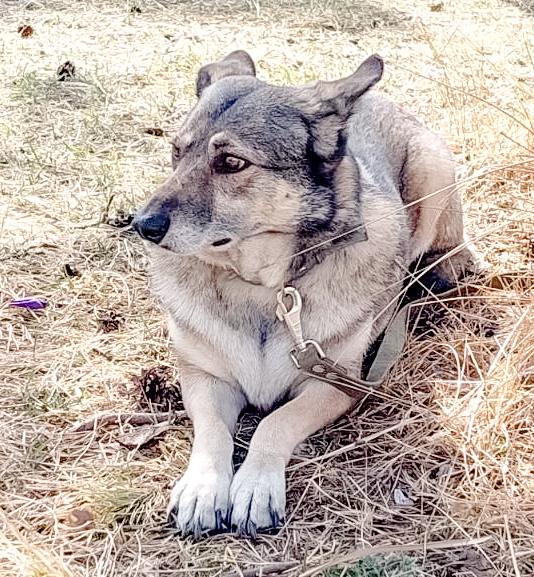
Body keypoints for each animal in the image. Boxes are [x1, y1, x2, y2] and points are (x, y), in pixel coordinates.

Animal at [134, 49, 474, 536]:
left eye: (231, 163)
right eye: (176, 153)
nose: (141, 225)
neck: (264, 288)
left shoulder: (335, 384)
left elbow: (275, 423)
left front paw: (256, 484)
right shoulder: (204, 379)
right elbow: (214, 434)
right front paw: (203, 487)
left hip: (433, 175)